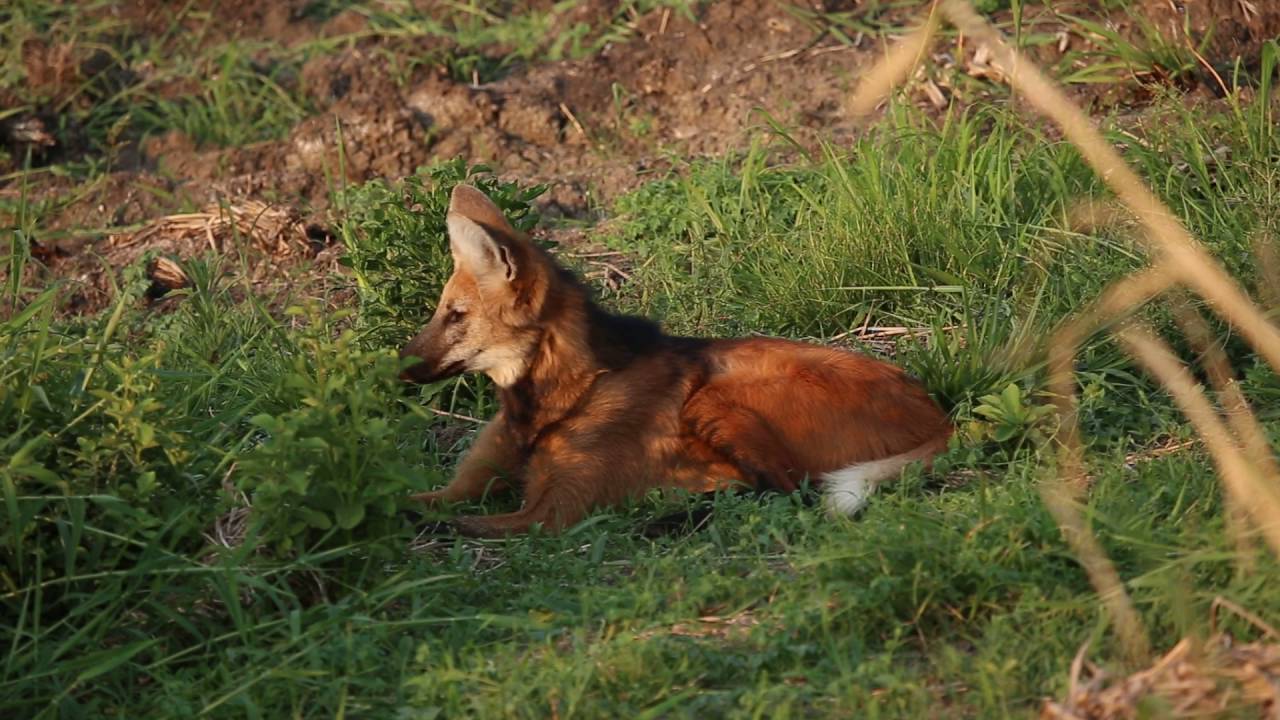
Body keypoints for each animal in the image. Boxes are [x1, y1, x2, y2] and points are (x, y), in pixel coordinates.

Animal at [399, 184, 953, 537]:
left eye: (456, 315)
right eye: (440, 312)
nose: (399, 367)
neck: (552, 405)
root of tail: (938, 415)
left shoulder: (548, 515)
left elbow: (443, 521)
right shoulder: (466, 486)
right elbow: (424, 503)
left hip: (714, 397)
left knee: (790, 490)